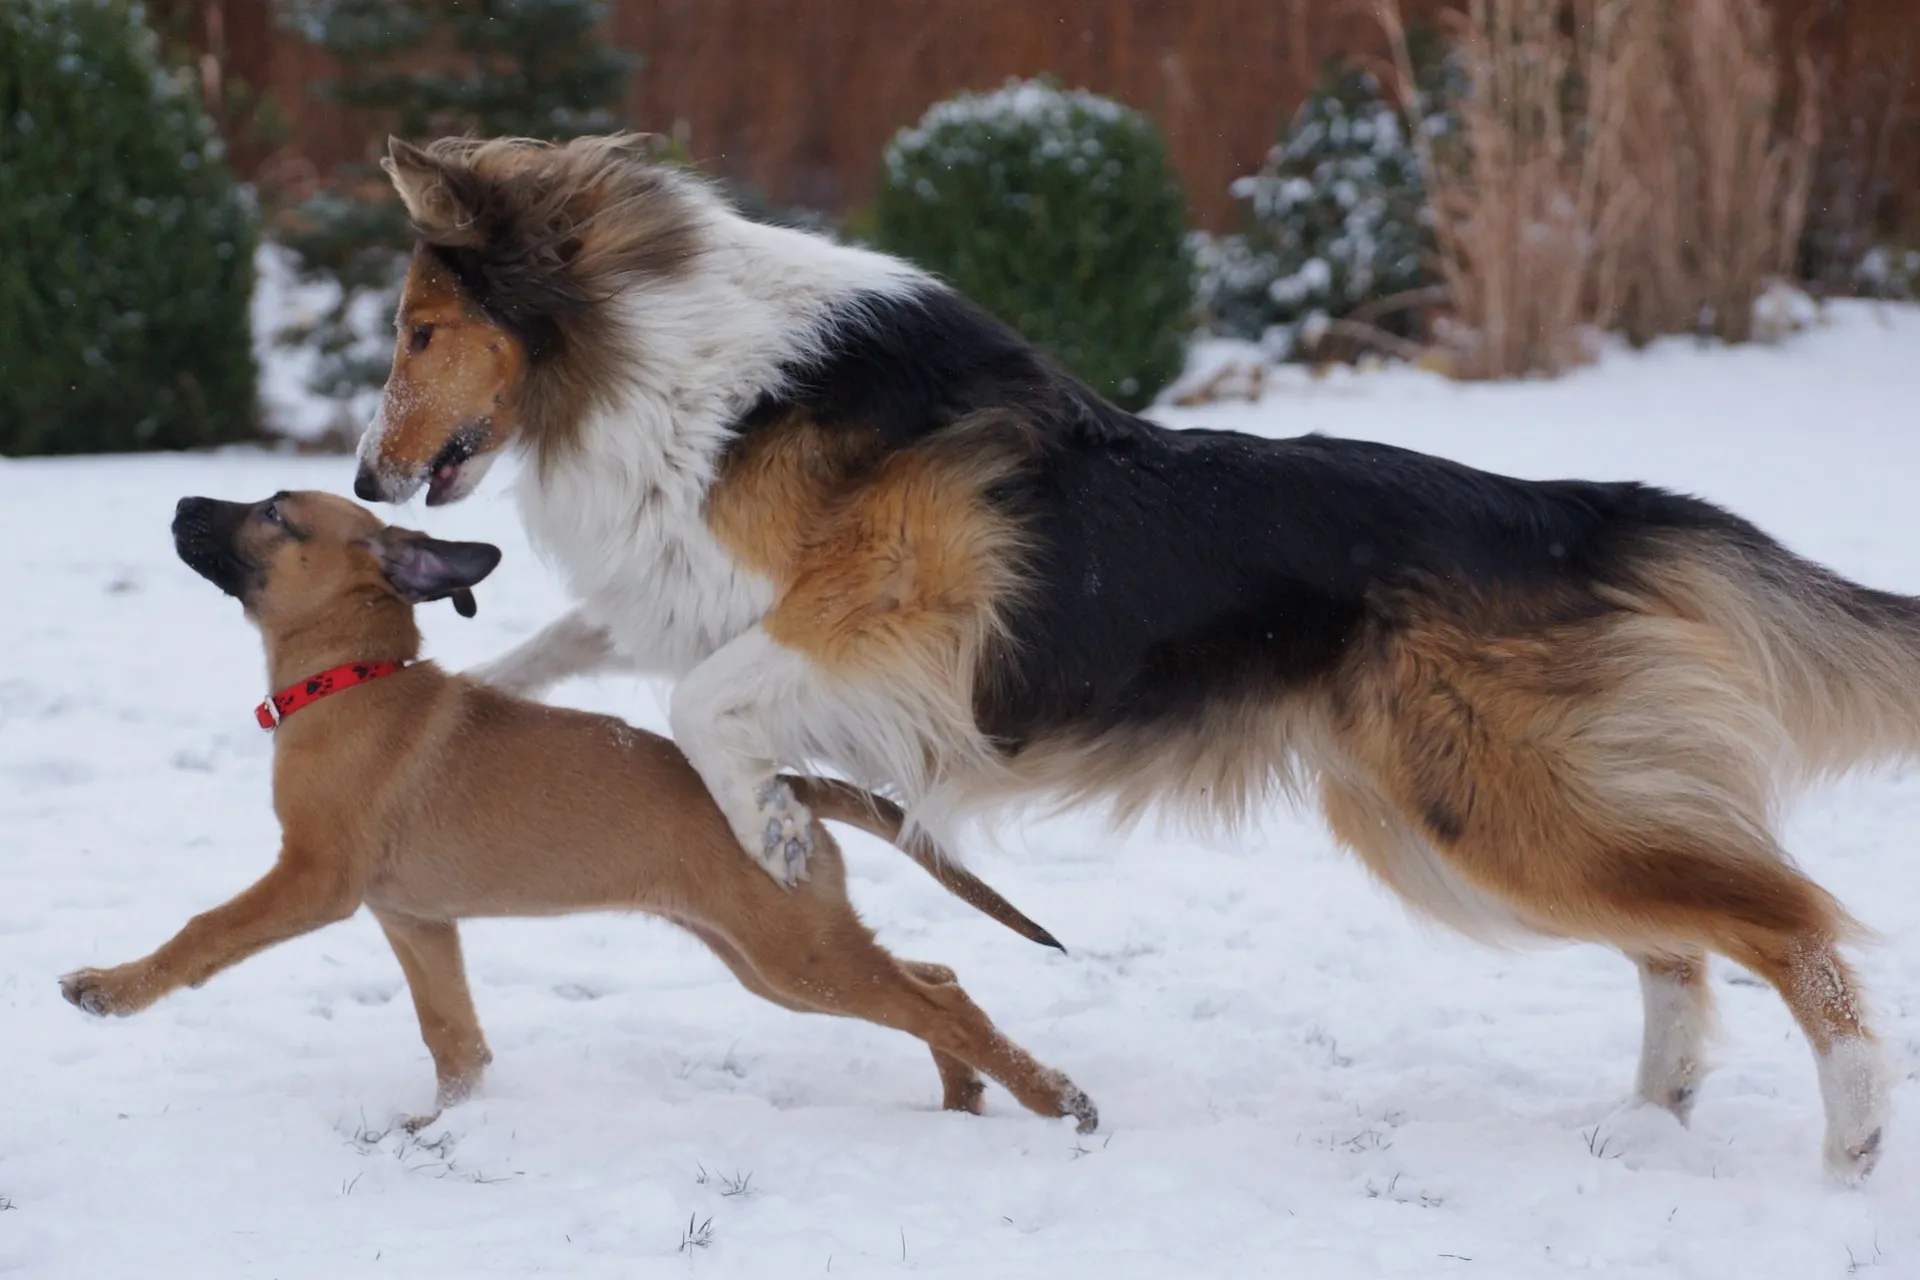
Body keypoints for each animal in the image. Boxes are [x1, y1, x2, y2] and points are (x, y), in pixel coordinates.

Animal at [60, 491, 1098, 1128]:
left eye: (274, 513)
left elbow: (203, 931)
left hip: (794, 954)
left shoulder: (313, 880)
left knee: (939, 1000)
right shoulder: (414, 918)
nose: (180, 505)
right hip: (777, 955)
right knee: (937, 982)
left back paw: (1055, 1100)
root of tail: (791, 783)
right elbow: (454, 1039)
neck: (351, 681)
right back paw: (964, 1096)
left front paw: (113, 989)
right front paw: (447, 1125)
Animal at [360, 132, 1904, 1182]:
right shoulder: (692, 592)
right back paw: (1650, 1121)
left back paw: (1851, 1147)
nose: (370, 480)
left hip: (1491, 802)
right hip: (1455, 816)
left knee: (1793, 927)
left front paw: (776, 827)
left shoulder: (891, 617)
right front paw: (465, 715)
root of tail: (1577, 511)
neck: (663, 361)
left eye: (422, 330)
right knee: (1682, 943)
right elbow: (572, 651)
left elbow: (703, 701)